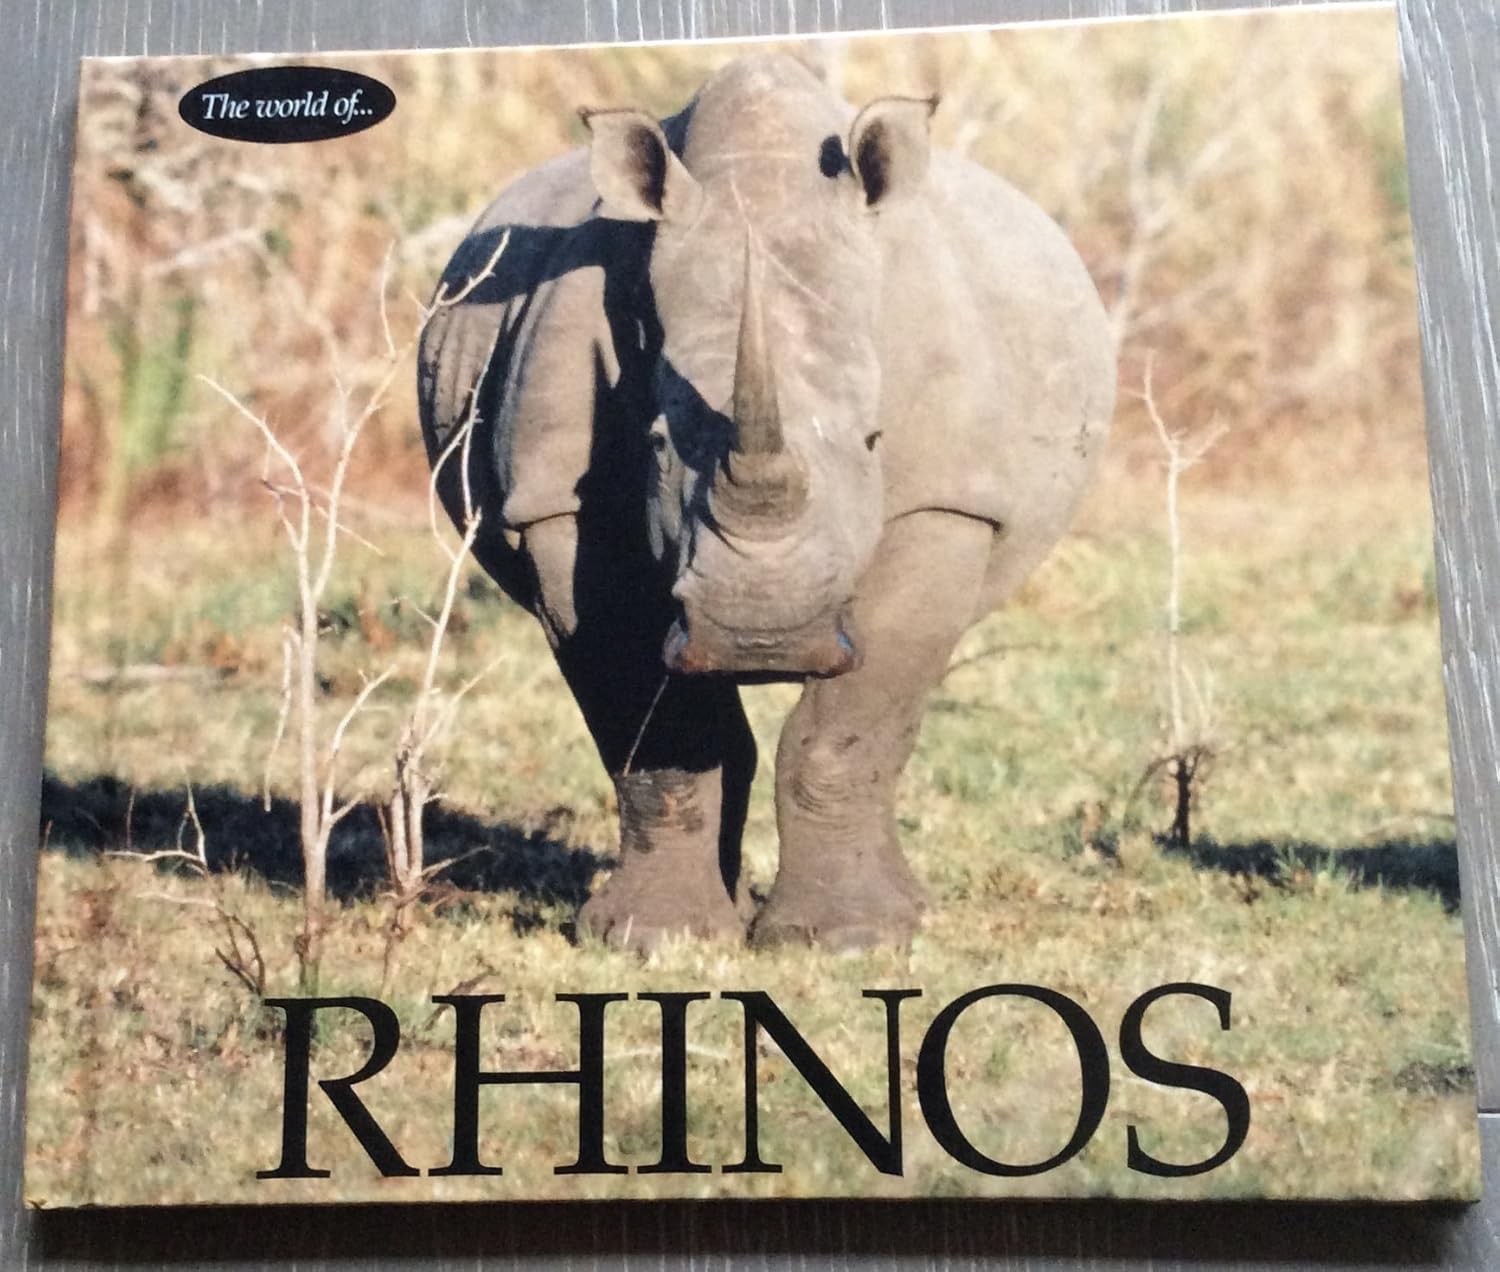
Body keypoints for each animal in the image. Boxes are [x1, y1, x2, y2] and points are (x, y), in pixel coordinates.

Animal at [418, 53, 1114, 952]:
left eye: (874, 442)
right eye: (653, 445)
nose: (761, 637)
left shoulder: (948, 504)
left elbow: (846, 733)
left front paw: (854, 939)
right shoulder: (556, 507)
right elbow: (654, 725)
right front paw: (655, 939)